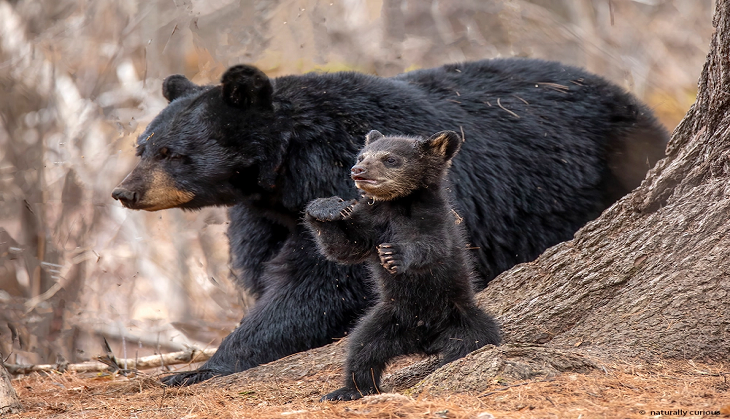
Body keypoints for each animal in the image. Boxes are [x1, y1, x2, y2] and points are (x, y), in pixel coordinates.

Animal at [305, 130, 501, 401]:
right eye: (362, 156)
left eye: (390, 159)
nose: (358, 170)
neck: (397, 204)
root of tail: (424, 339)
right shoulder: (371, 223)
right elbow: (345, 247)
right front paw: (326, 208)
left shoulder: (431, 216)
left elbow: (433, 246)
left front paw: (394, 255)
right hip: (389, 319)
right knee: (362, 348)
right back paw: (348, 390)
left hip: (461, 316)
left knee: (474, 341)